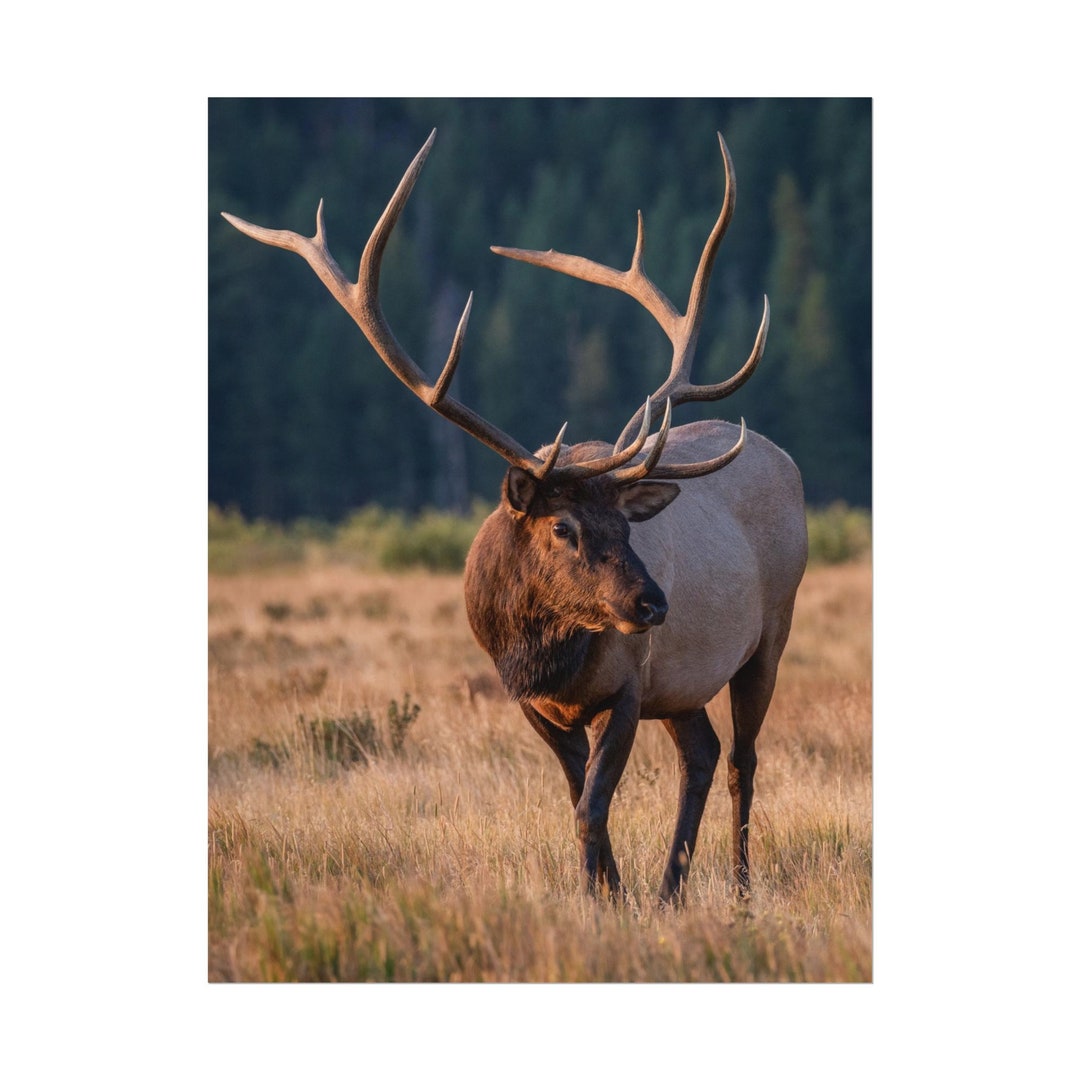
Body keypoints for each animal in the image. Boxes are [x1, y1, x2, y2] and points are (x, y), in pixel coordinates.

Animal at [221, 128, 807, 905]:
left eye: (627, 528)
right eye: (565, 528)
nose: (652, 604)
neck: (545, 653)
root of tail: (786, 459)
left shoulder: (629, 686)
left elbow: (592, 805)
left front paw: (602, 899)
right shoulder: (530, 701)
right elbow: (578, 800)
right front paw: (610, 895)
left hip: (769, 633)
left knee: (743, 758)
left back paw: (738, 890)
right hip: (685, 684)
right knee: (704, 754)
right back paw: (668, 891)